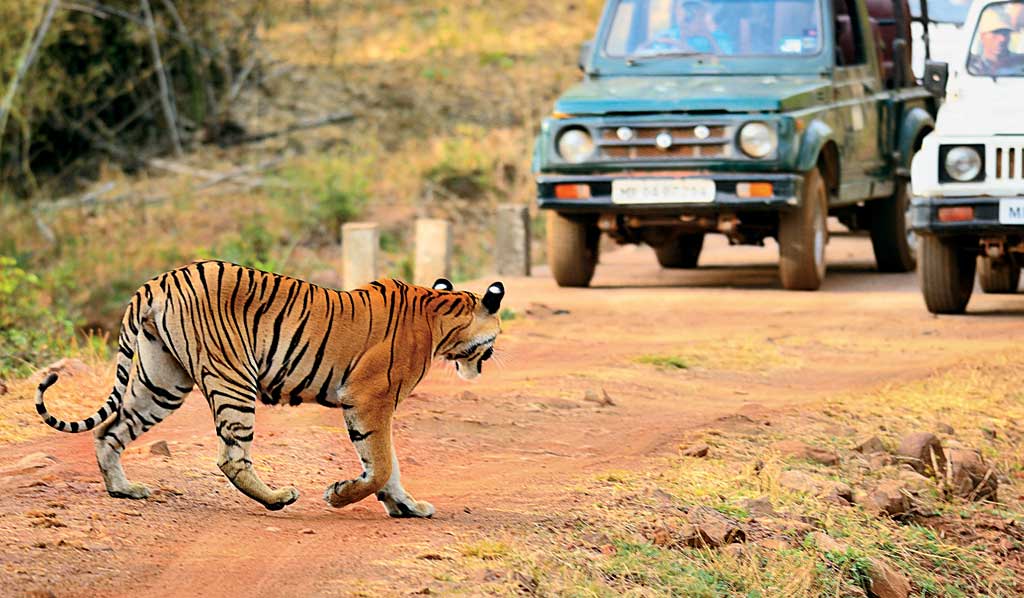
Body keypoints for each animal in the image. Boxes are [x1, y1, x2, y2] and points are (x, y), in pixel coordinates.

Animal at [35, 260, 504, 518]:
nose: (492, 355)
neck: (439, 314)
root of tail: (159, 281)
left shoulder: (370, 403)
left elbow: (387, 467)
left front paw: (407, 508)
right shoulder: (370, 398)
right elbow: (383, 464)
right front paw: (339, 496)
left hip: (162, 381)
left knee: (110, 430)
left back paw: (123, 489)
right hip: (233, 379)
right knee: (231, 456)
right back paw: (277, 498)